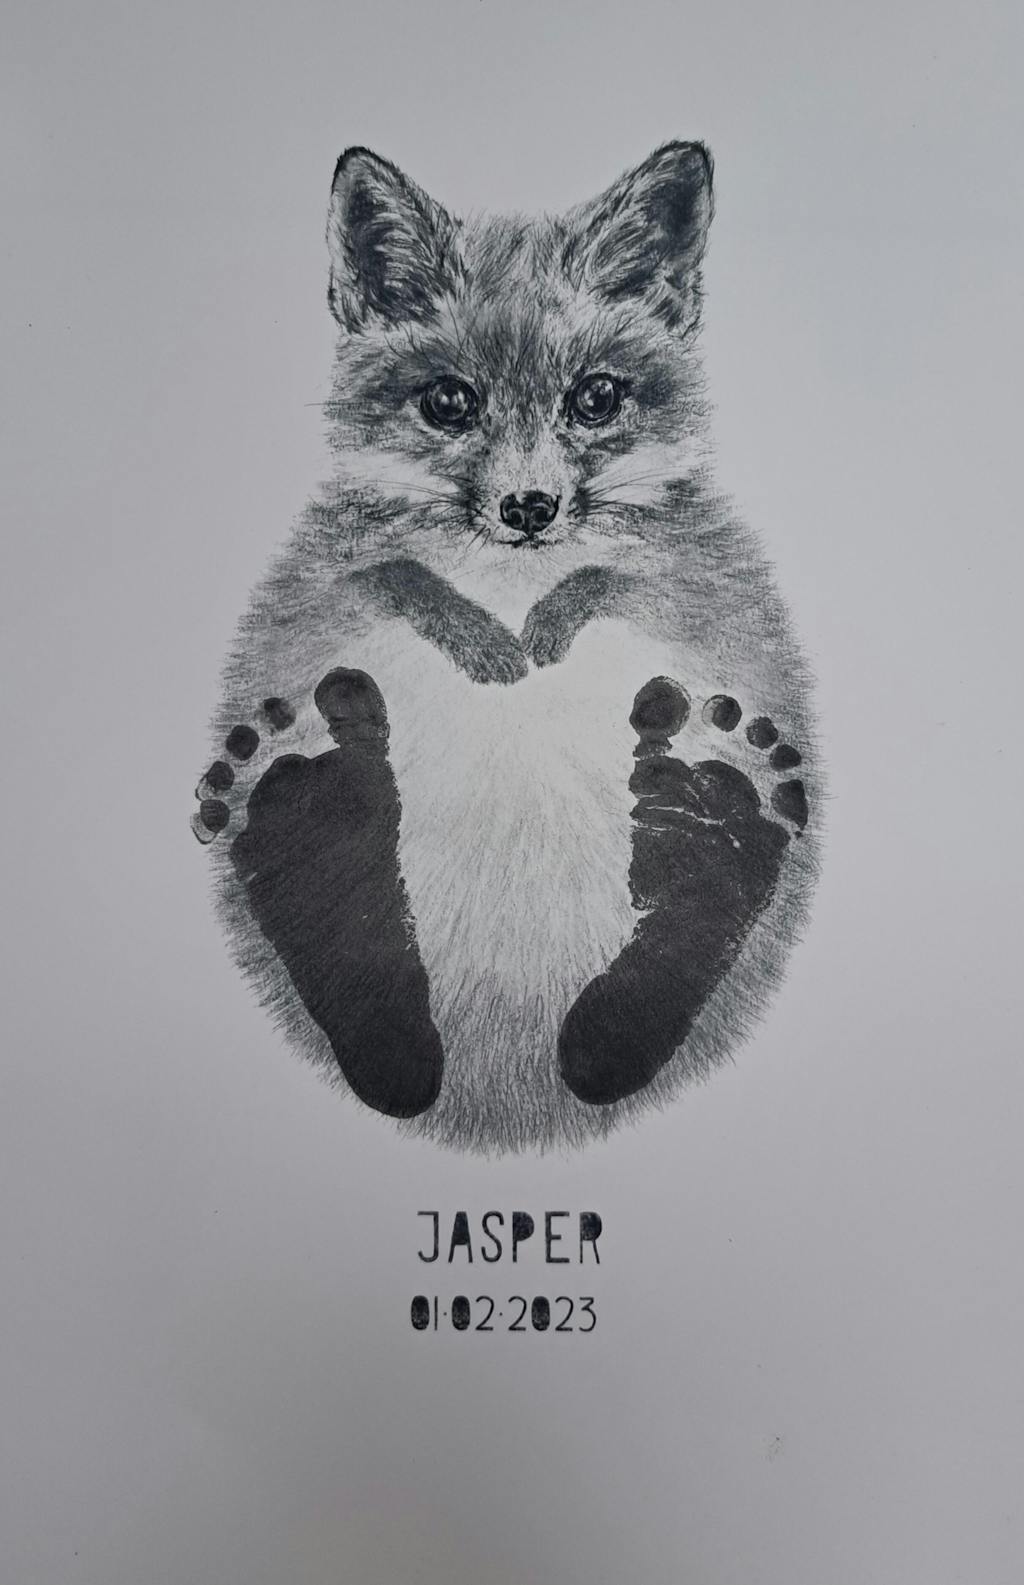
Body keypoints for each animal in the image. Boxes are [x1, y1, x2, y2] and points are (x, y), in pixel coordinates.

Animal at [191, 140, 822, 1155]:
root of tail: (508, 1111)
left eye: (596, 398)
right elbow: (403, 577)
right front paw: (488, 645)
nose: (530, 508)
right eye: (450, 401)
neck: (509, 581)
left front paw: (545, 631)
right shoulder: (346, 573)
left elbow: (611, 575)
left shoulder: (687, 577)